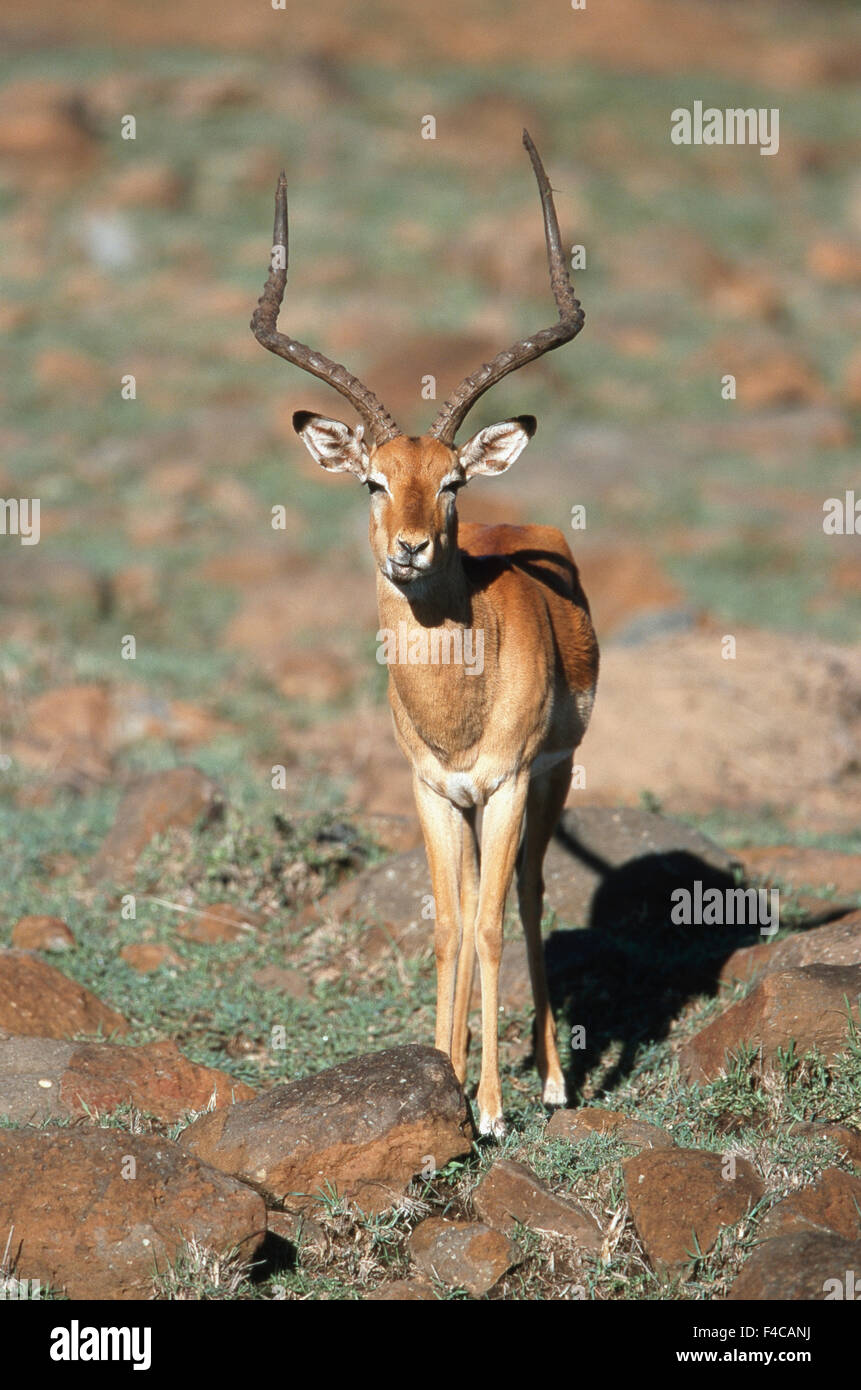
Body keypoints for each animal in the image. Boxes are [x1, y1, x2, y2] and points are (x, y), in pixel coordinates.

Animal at [251, 131, 598, 1137]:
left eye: (451, 481)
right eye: (373, 479)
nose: (409, 548)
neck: (457, 696)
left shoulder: (508, 781)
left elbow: (486, 923)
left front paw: (488, 1110)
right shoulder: (432, 790)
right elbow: (445, 924)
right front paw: (441, 1078)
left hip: (549, 780)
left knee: (525, 896)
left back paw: (551, 1082)